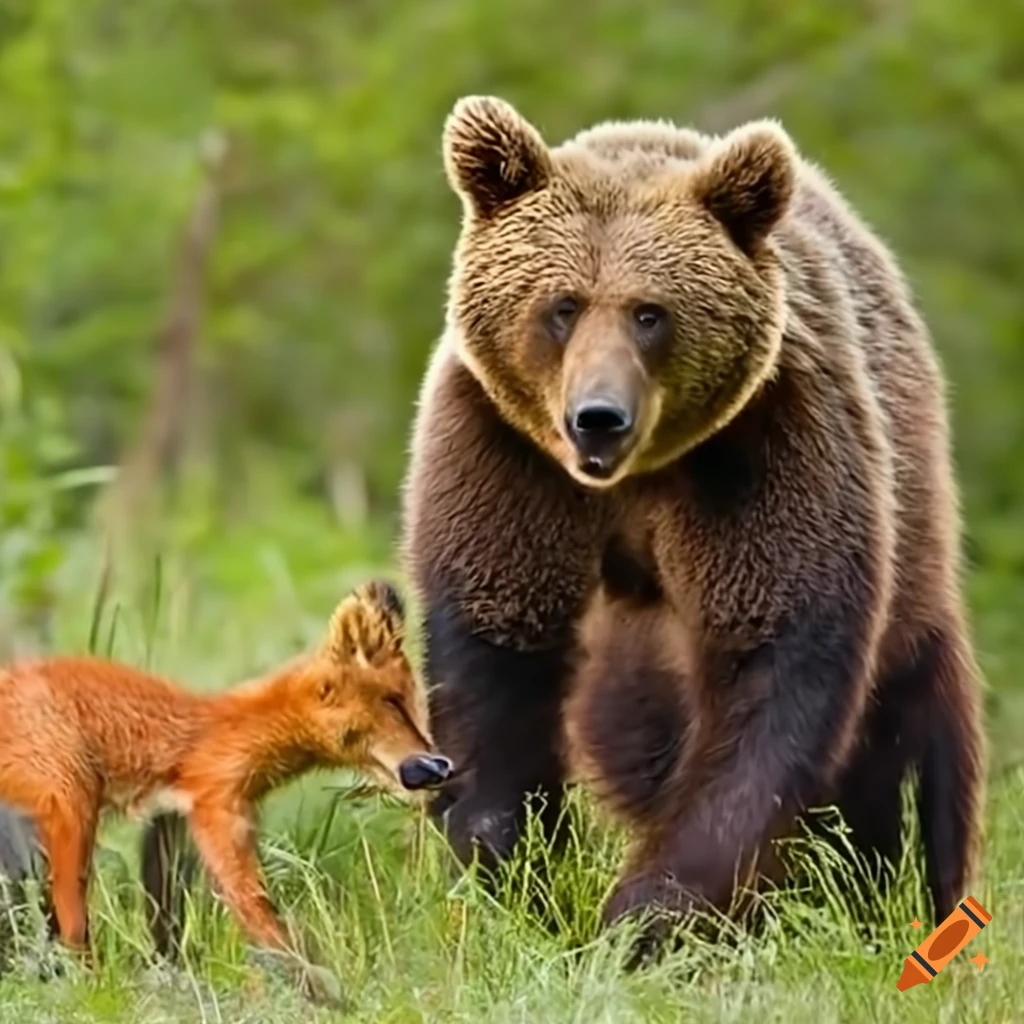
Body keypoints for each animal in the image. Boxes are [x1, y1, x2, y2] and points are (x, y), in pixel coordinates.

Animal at [0, 580, 451, 998]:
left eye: (412, 700)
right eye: (393, 702)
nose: (440, 765)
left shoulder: (173, 822)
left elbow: (169, 915)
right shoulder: (216, 810)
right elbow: (259, 912)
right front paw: (319, 988)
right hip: (72, 809)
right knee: (71, 924)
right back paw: (84, 983)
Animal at [400, 95, 986, 938]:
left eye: (650, 313)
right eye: (563, 306)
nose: (597, 418)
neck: (635, 480)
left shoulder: (765, 449)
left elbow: (768, 676)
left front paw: (648, 919)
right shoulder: (503, 451)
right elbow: (498, 657)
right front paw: (510, 882)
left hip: (913, 548)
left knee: (909, 746)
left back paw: (897, 897)